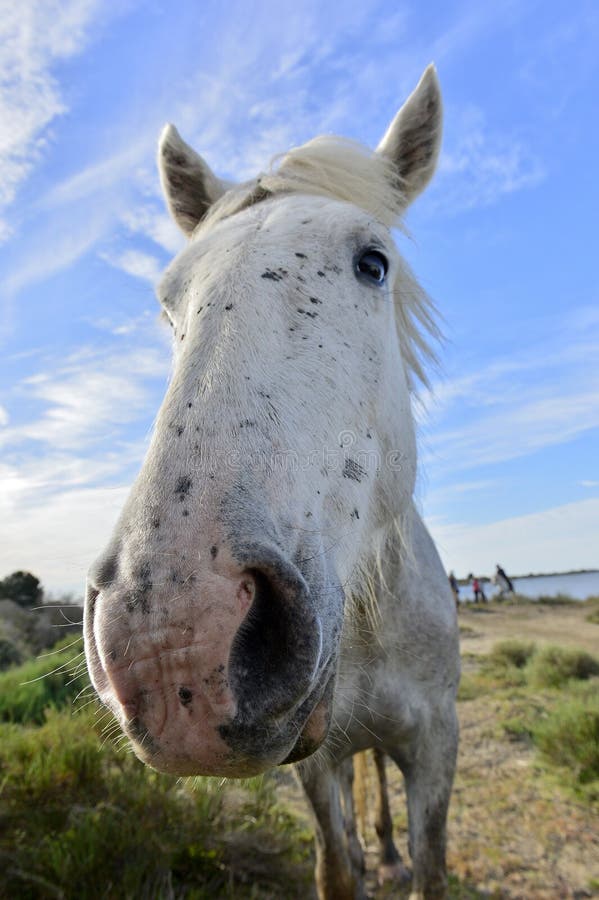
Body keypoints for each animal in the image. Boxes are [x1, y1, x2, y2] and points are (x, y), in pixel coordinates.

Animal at [83, 64, 460, 899]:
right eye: (168, 304)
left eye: (372, 263)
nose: (169, 643)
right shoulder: (314, 766)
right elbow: (335, 866)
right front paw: (363, 860)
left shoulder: (436, 747)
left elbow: (428, 863)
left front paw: (399, 857)